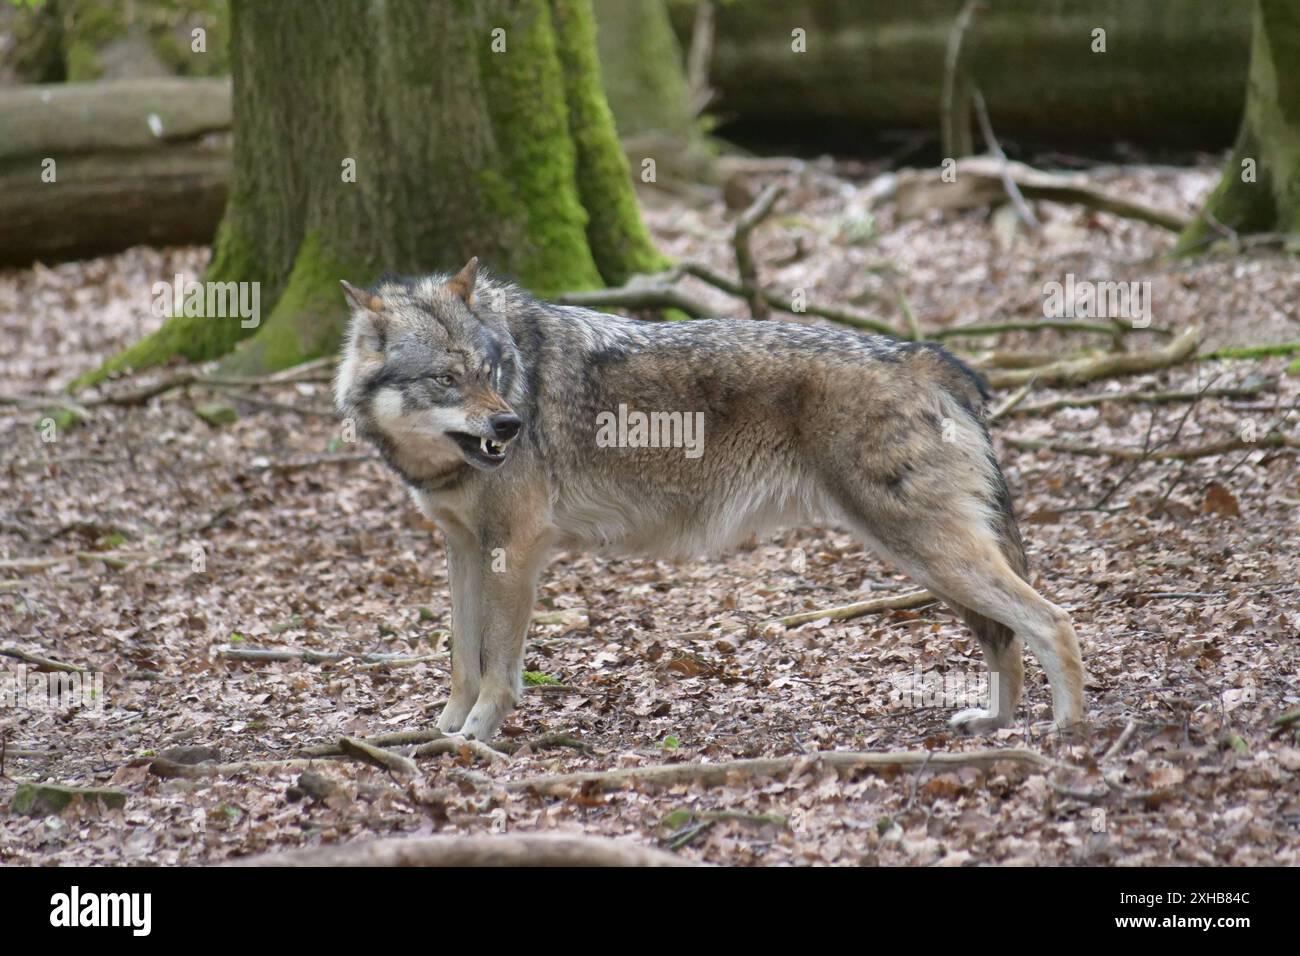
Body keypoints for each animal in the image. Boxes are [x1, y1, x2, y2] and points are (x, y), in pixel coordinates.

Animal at [334, 258, 1086, 741]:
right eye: (446, 378)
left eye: (491, 371)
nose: (511, 425)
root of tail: (924, 356)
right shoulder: (463, 547)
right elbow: (462, 656)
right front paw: (442, 730)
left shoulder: (515, 552)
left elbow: (498, 667)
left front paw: (477, 736)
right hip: (924, 560)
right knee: (1007, 636)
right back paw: (997, 723)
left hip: (926, 553)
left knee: (1052, 619)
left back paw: (1068, 730)